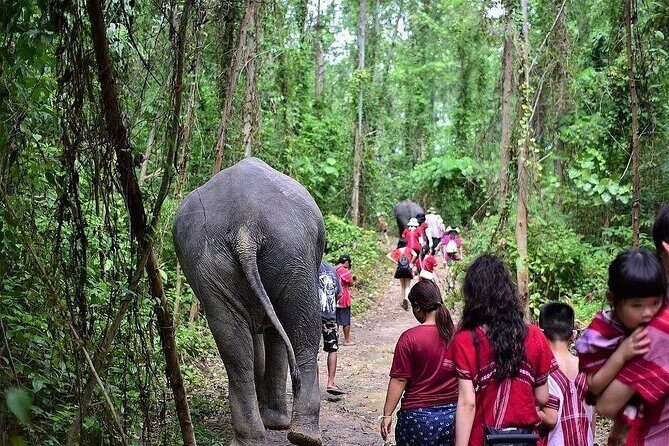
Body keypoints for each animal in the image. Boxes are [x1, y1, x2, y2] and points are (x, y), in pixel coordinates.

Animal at [172, 157, 325, 446]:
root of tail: (245, 227)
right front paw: (275, 423)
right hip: (292, 251)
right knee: (304, 331)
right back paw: (301, 433)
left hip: (211, 263)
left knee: (234, 348)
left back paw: (253, 437)